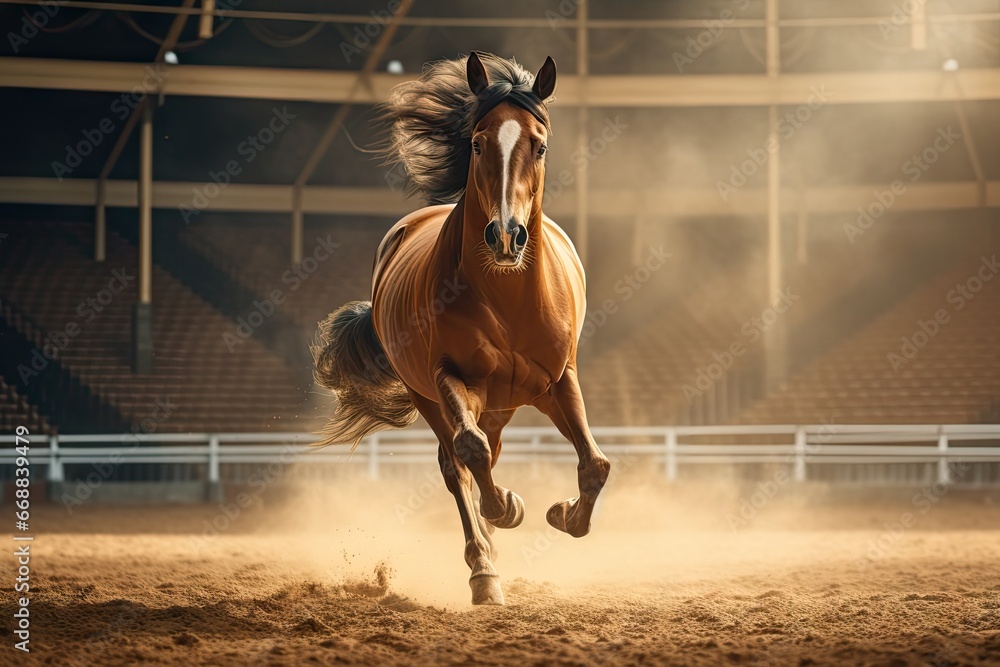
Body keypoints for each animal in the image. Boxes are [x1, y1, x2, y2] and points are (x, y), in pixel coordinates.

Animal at [313, 52, 611, 605]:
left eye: (540, 146)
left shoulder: (559, 382)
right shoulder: (449, 377)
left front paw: (562, 514)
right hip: (431, 395)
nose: (506, 237)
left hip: (502, 402)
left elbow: (595, 464)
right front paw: (508, 511)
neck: (508, 297)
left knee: (486, 452)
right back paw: (484, 569)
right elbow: (470, 454)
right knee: (458, 465)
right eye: (477, 142)